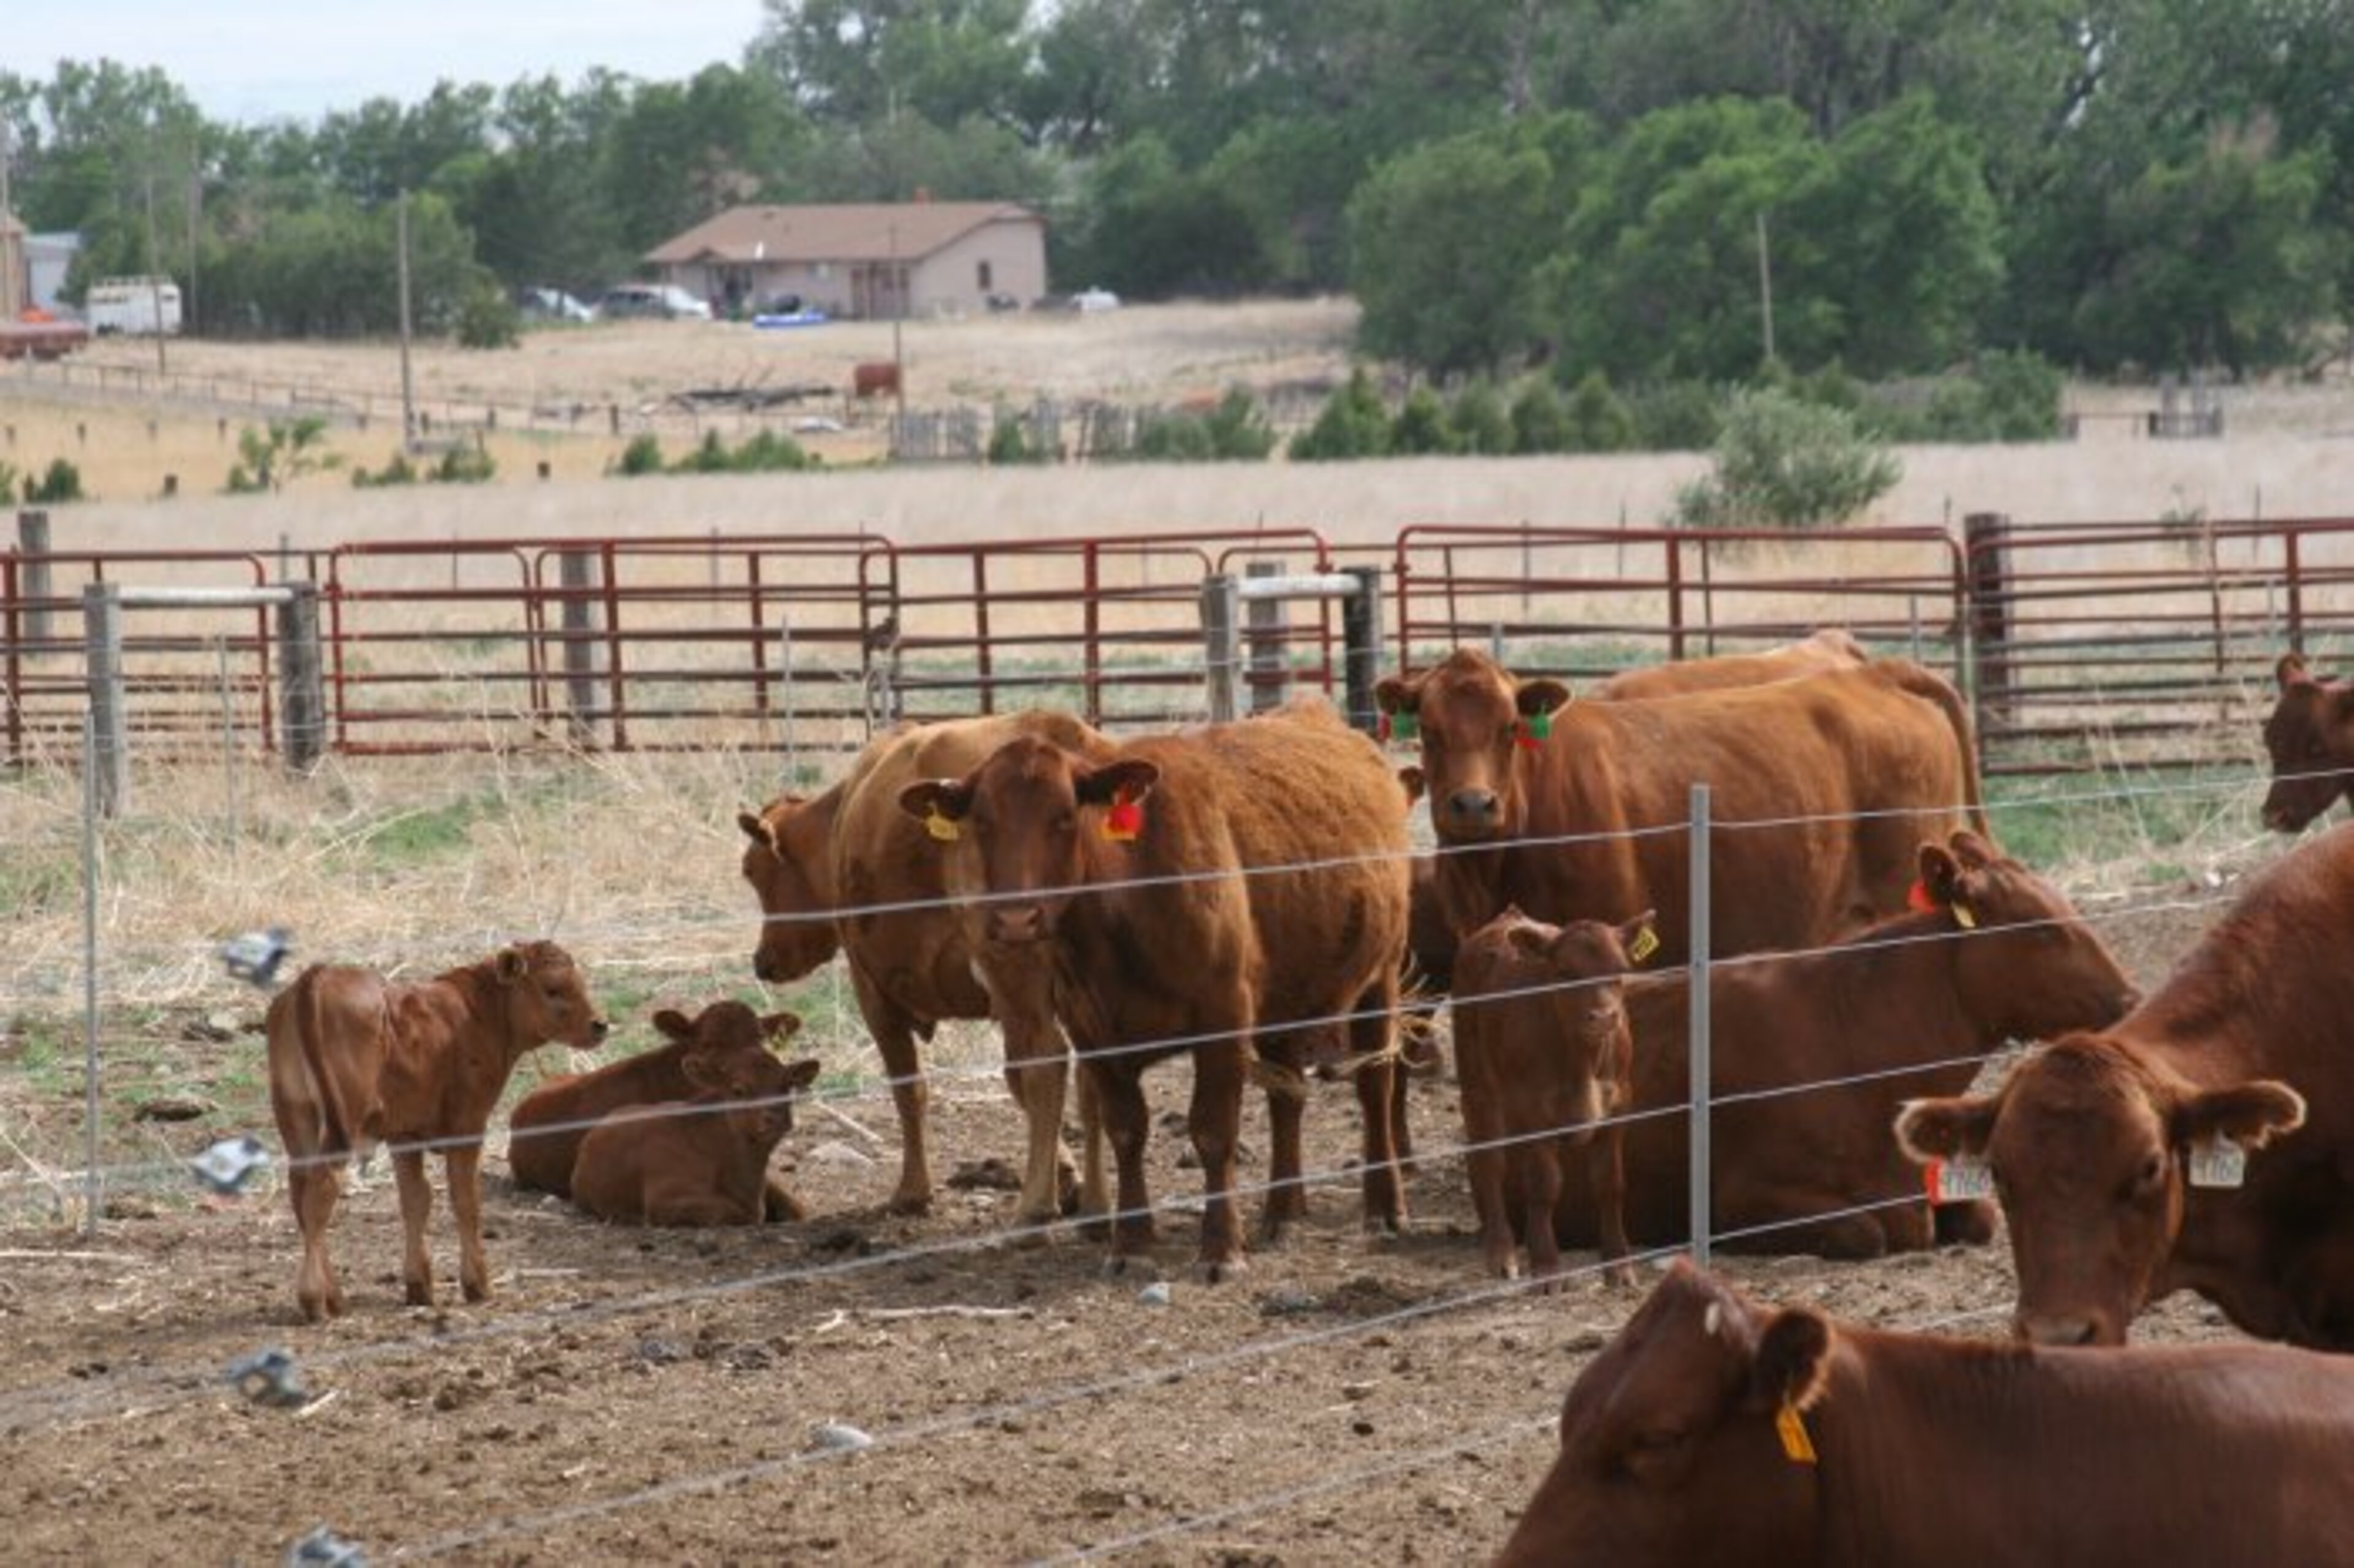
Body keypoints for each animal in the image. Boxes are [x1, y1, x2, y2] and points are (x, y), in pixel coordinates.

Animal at [265, 940, 608, 1322]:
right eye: (552, 988)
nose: (600, 1025)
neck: (478, 1013)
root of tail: (318, 976)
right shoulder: (469, 1124)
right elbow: (466, 1200)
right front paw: (477, 1284)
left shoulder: (404, 1134)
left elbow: (416, 1200)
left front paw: (419, 1286)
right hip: (343, 1122)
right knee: (321, 1192)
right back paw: (314, 1299)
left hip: (296, 1117)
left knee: (301, 1193)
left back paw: (336, 1297)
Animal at [739, 711, 1108, 1229]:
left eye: (753, 871)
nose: (762, 960)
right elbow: (1018, 1081)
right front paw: (1068, 1175)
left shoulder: (873, 988)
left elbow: (909, 1088)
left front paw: (912, 1191)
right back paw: (1098, 1200)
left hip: (1012, 960)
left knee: (1048, 1060)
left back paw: (1036, 1206)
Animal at [899, 699, 1411, 1281]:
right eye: (982, 821)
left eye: (1065, 816)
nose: (1014, 919)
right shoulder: (1092, 1031)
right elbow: (1126, 1130)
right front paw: (1131, 1242)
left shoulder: (1223, 1019)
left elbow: (1212, 1131)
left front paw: (1220, 1249)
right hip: (1284, 1000)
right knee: (1287, 1097)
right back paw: (1281, 1214)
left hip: (1381, 977)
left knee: (1375, 1084)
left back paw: (1383, 1208)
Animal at [1453, 907, 1655, 1287]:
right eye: (1565, 972)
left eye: (1620, 969)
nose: (1604, 1017)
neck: (1582, 1062)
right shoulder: (1532, 1110)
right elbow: (1545, 1184)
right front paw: (1546, 1266)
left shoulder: (1620, 1105)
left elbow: (1610, 1183)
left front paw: (1619, 1265)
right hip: (1478, 1086)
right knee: (1489, 1161)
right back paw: (1501, 1254)